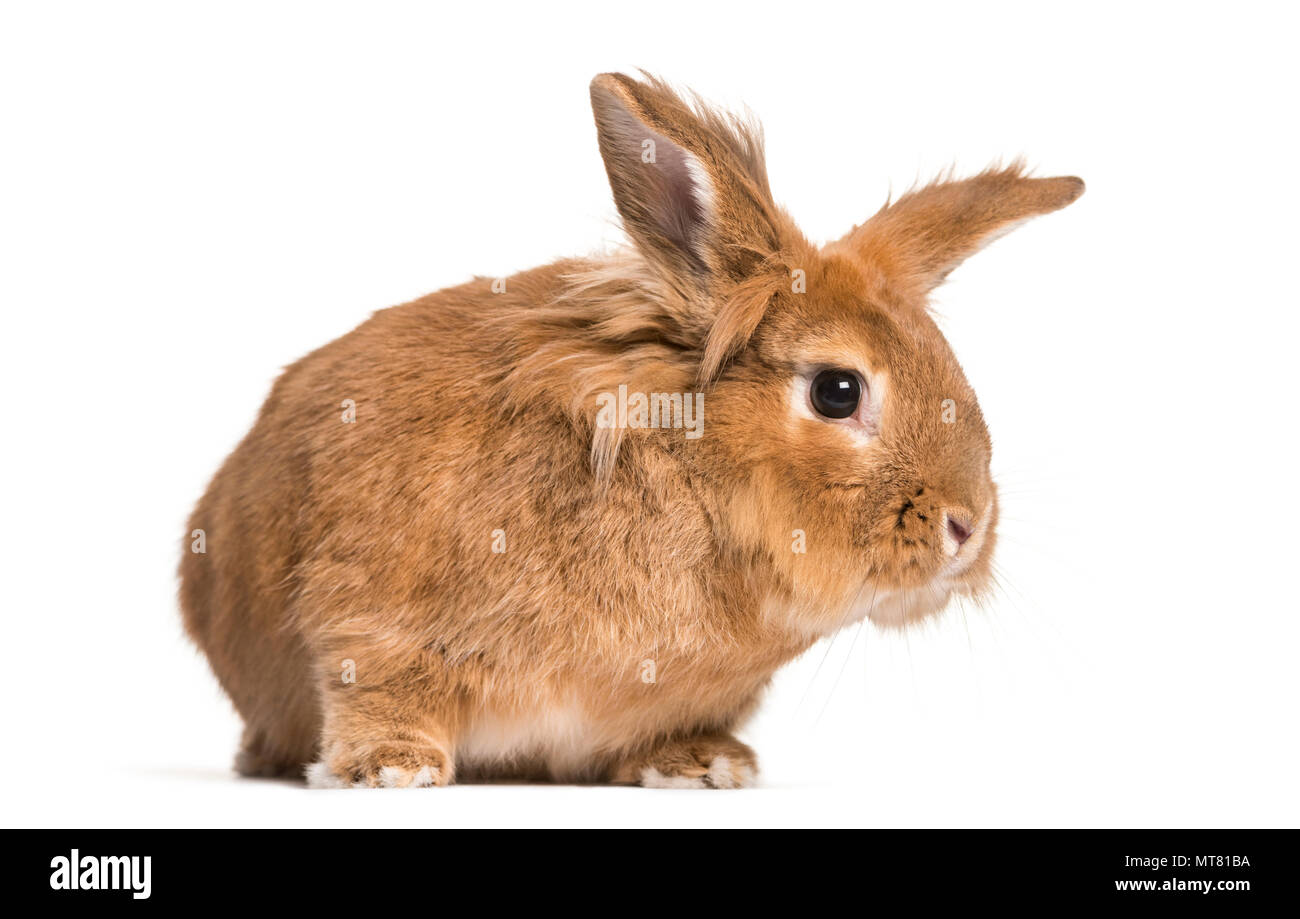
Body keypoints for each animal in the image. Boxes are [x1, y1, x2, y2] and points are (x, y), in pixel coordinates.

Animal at [179, 72, 1083, 789]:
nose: (969, 525)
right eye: (837, 391)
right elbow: (376, 683)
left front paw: (708, 764)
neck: (691, 477)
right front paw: (391, 768)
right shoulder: (370, 618)